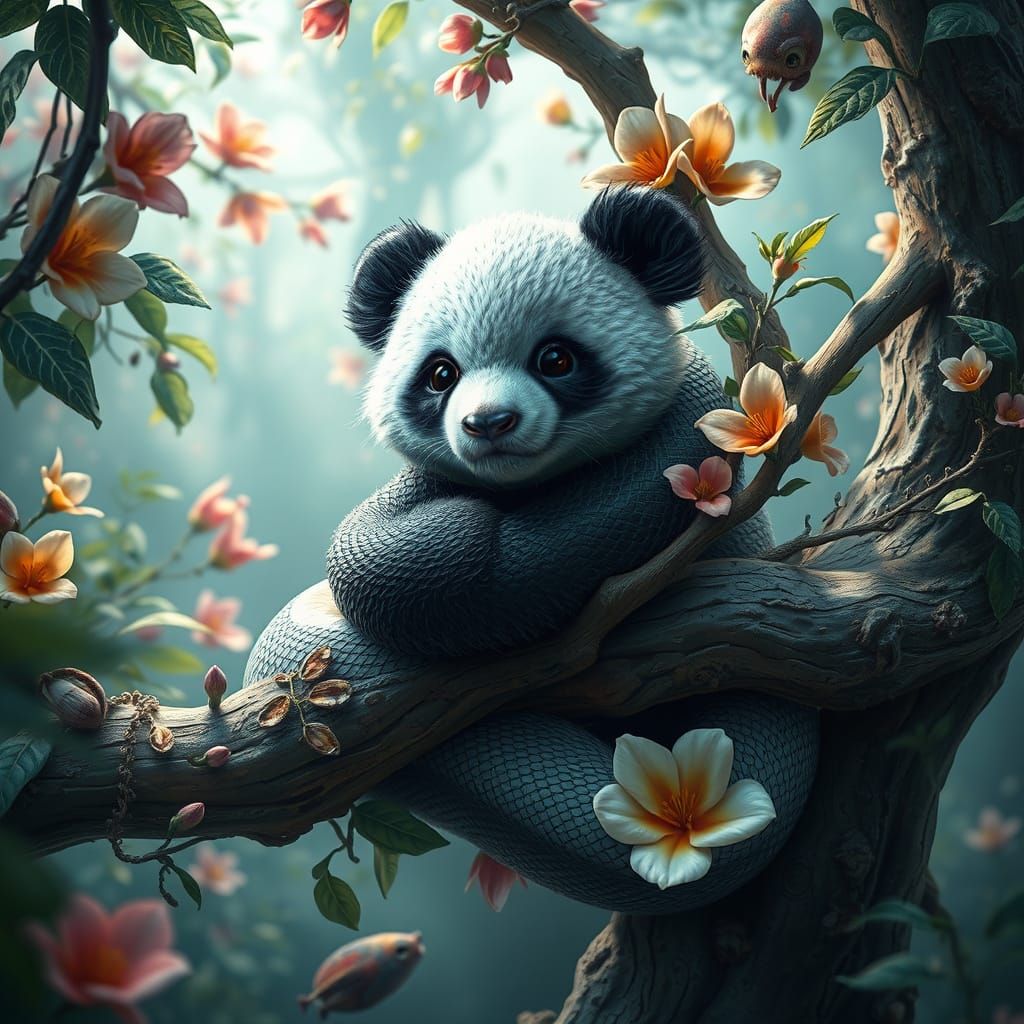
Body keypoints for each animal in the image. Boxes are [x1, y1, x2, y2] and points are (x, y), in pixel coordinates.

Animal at [246, 186, 819, 913]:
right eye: (440, 374)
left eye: (556, 358)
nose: (488, 424)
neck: (529, 488)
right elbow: (370, 551)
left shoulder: (680, 442)